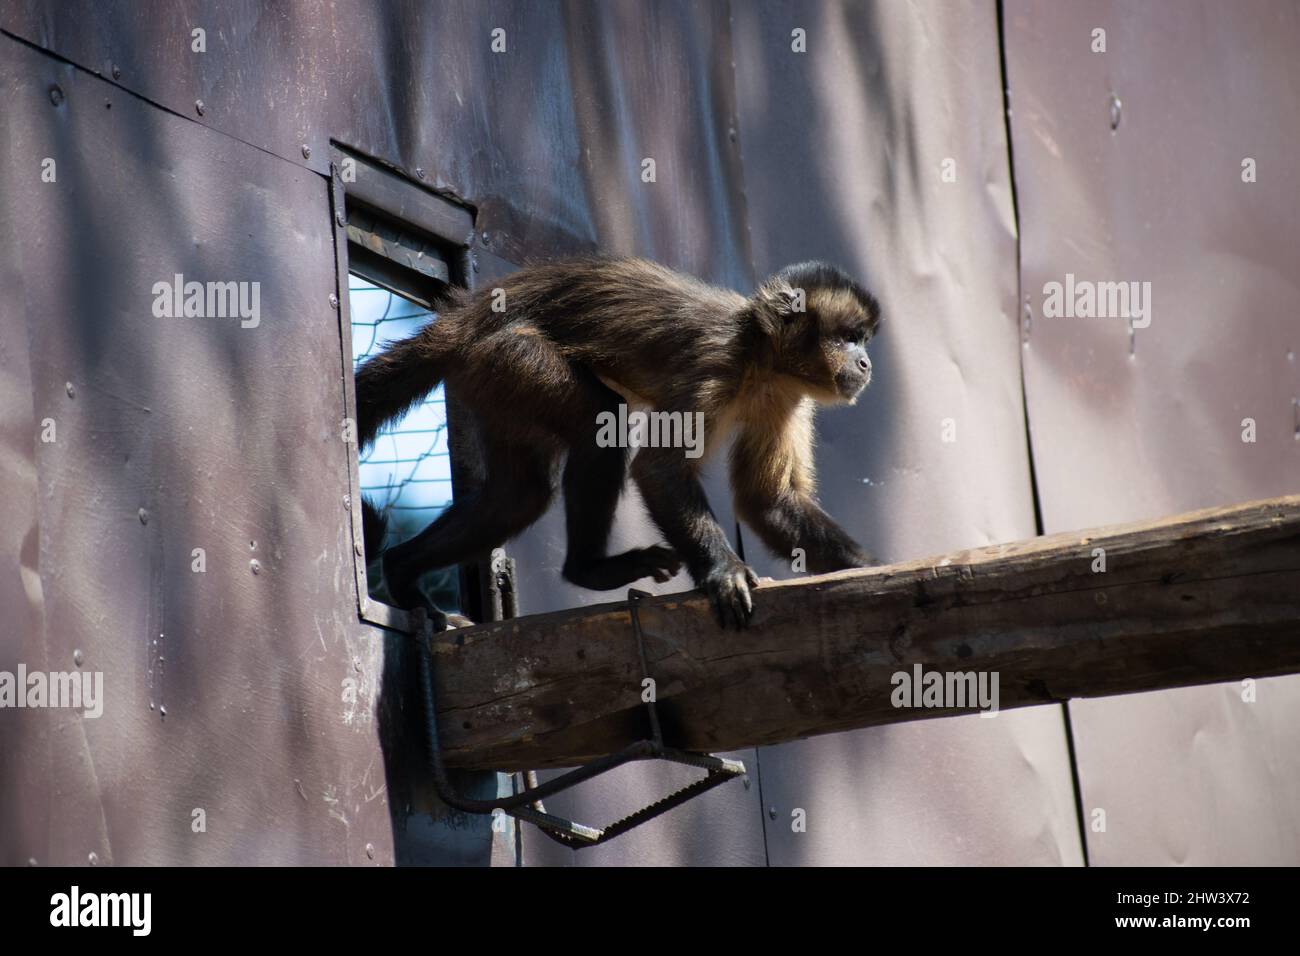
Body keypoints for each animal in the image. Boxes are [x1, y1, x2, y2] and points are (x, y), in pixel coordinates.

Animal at [355, 257, 880, 628]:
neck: (761, 358)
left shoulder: (788, 397)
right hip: (509, 355)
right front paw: (723, 572)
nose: (866, 363)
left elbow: (766, 499)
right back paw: (588, 570)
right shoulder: (714, 362)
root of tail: (466, 315)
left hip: (487, 379)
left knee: (519, 495)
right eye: (848, 338)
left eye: (863, 340)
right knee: (598, 426)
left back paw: (402, 569)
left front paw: (866, 566)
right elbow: (658, 468)